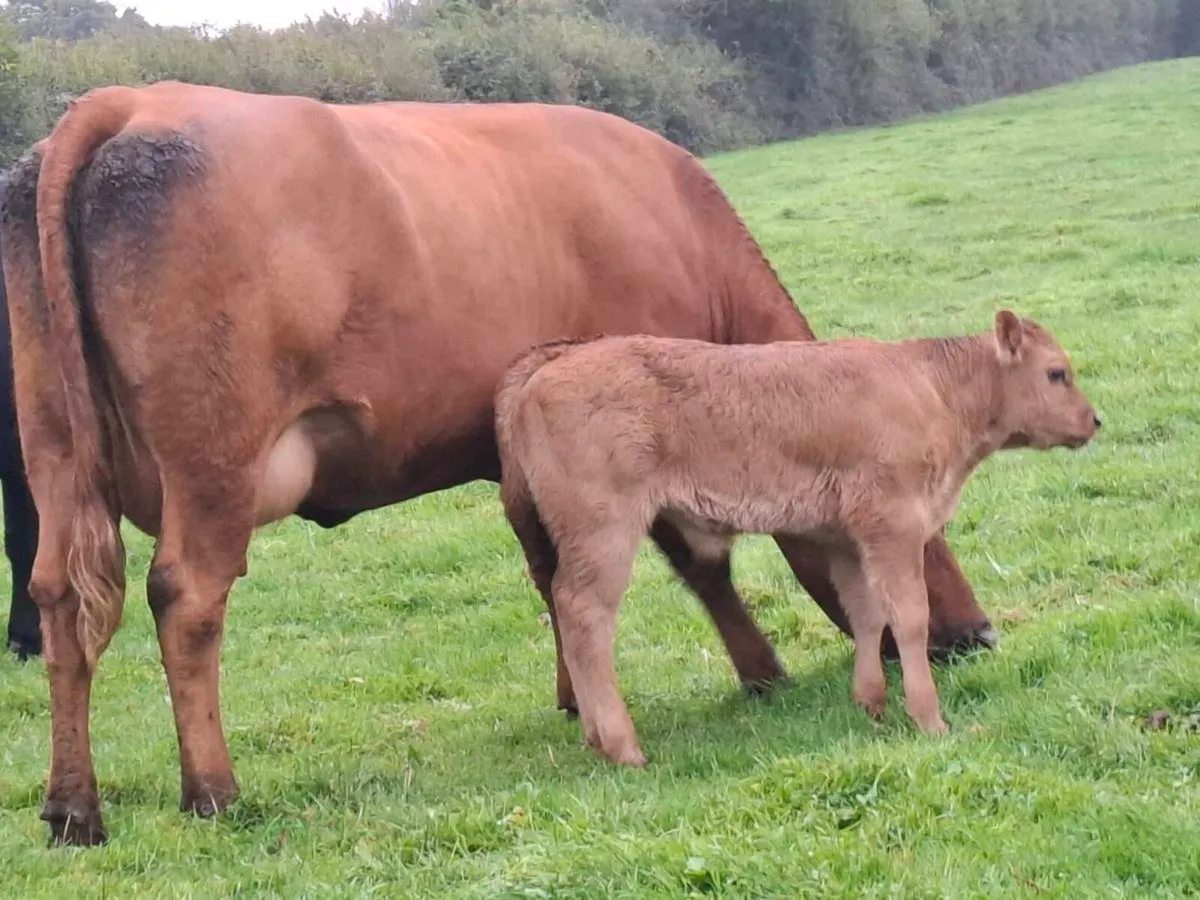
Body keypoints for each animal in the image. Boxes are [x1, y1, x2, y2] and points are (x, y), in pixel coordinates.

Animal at [3, 80, 997, 847]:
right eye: (922, 537)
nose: (977, 634)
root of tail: (126, 102)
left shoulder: (521, 459)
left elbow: (548, 568)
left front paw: (573, 698)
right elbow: (700, 561)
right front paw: (759, 673)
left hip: (53, 456)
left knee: (60, 599)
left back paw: (72, 809)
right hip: (213, 468)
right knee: (186, 601)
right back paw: (212, 791)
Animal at [494, 312, 1100, 766]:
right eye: (1056, 373)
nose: (1094, 420)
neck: (931, 387)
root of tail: (549, 365)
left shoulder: (845, 539)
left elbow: (865, 614)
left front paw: (871, 703)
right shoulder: (894, 527)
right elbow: (908, 617)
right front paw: (929, 719)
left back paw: (596, 737)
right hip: (604, 535)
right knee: (585, 619)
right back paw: (623, 746)